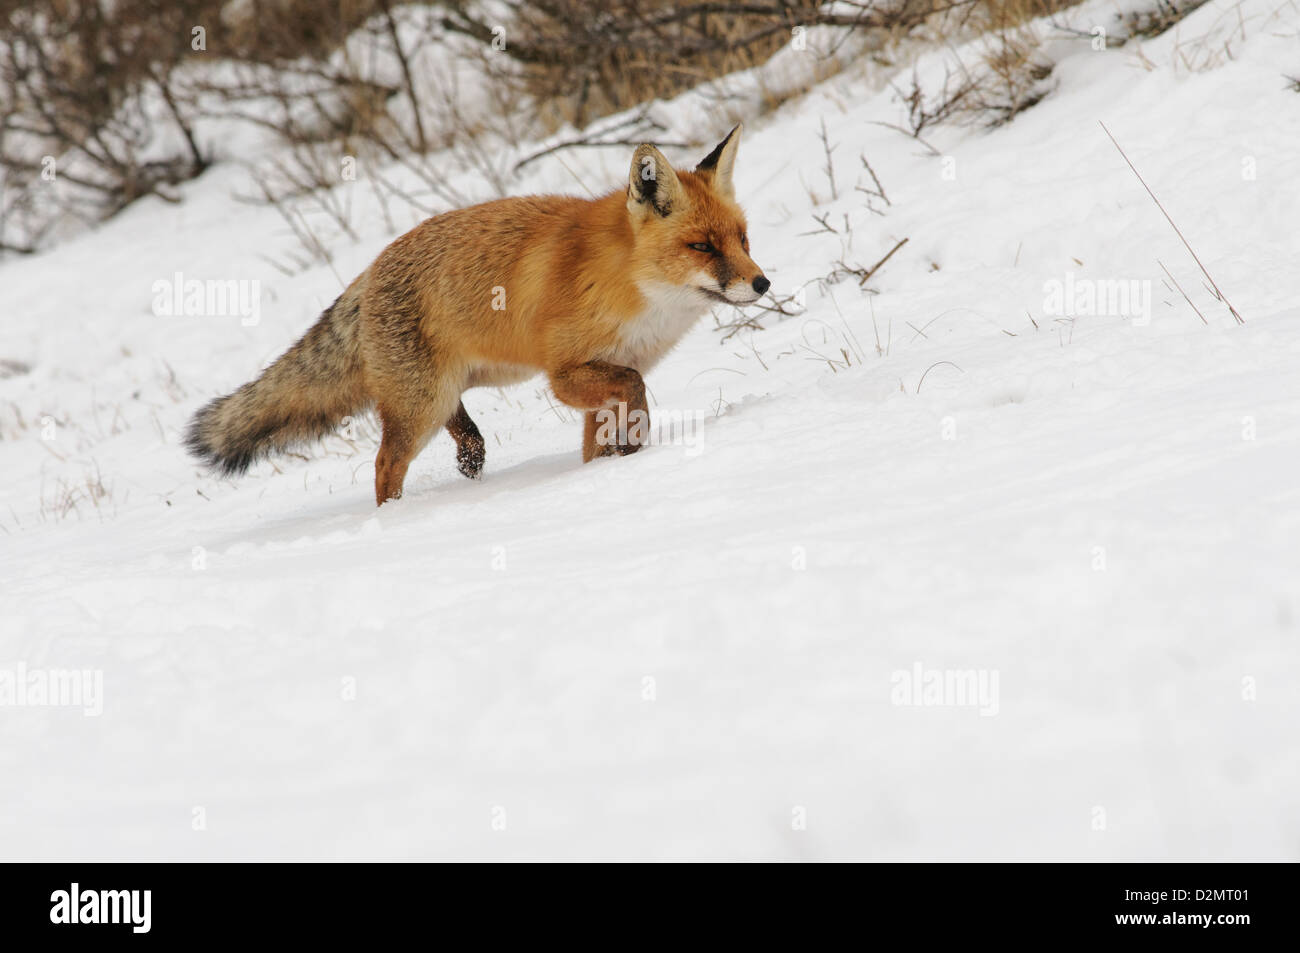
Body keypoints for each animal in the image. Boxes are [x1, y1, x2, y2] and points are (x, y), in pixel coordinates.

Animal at [186, 125, 768, 506]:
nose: (762, 283)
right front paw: (637, 448)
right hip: (420, 407)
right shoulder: (567, 375)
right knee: (384, 466)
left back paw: (469, 463)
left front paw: (614, 467)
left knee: (463, 434)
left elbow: (600, 440)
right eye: (701, 246)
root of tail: (368, 273)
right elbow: (633, 391)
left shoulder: (604, 377)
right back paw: (394, 519)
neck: (631, 288)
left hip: (445, 392)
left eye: (742, 240)